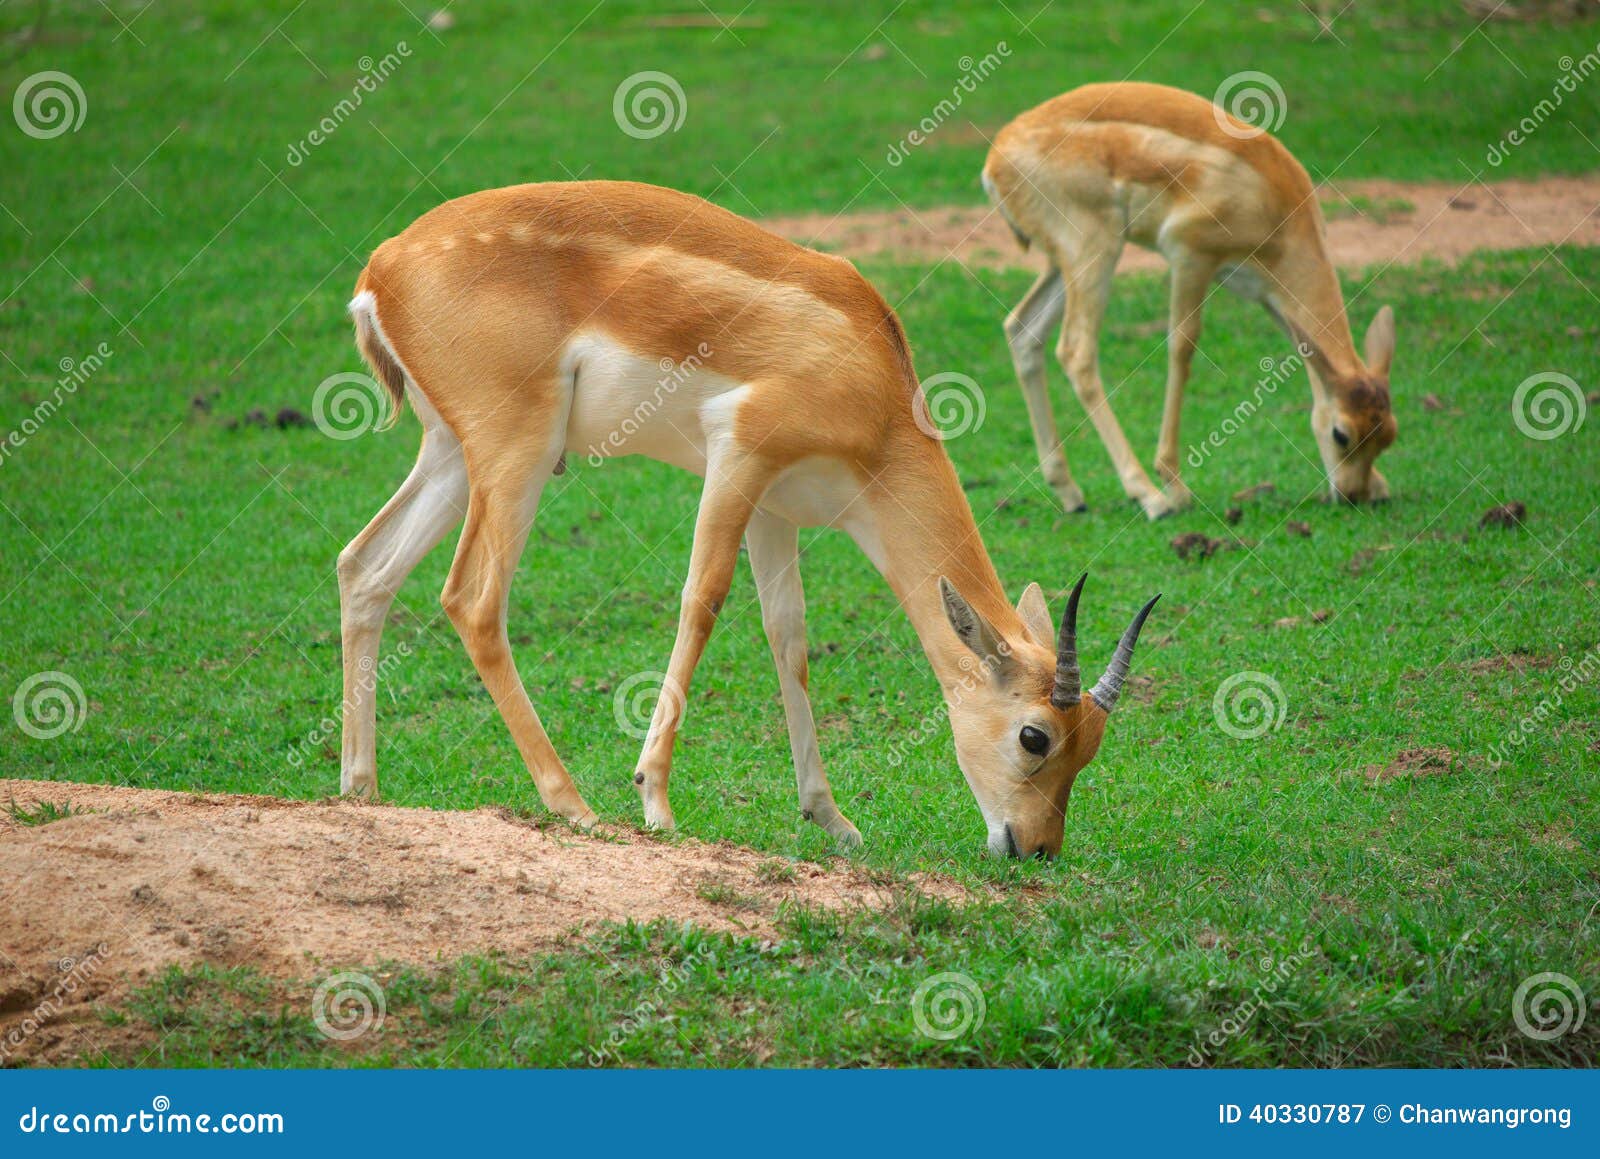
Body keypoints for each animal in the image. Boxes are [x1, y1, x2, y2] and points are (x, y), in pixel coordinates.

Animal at [336, 180, 1158, 859]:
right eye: (1034, 735)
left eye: (1093, 744)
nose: (1036, 846)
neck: (870, 372)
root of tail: (381, 268)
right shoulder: (738, 455)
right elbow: (702, 601)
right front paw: (656, 802)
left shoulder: (776, 507)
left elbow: (787, 637)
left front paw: (833, 820)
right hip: (518, 453)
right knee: (472, 599)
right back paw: (574, 804)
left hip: (450, 454)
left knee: (363, 566)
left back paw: (362, 791)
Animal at [982, 81, 1398, 519]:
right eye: (1341, 433)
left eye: (1388, 434)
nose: (1352, 495)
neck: (1275, 198)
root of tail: (998, 155)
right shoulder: (1190, 258)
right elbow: (1182, 348)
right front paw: (1174, 484)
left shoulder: (1268, 296)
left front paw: (1380, 483)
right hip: (1095, 248)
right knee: (1076, 352)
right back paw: (1150, 496)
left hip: (1063, 265)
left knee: (1022, 330)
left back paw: (1070, 493)